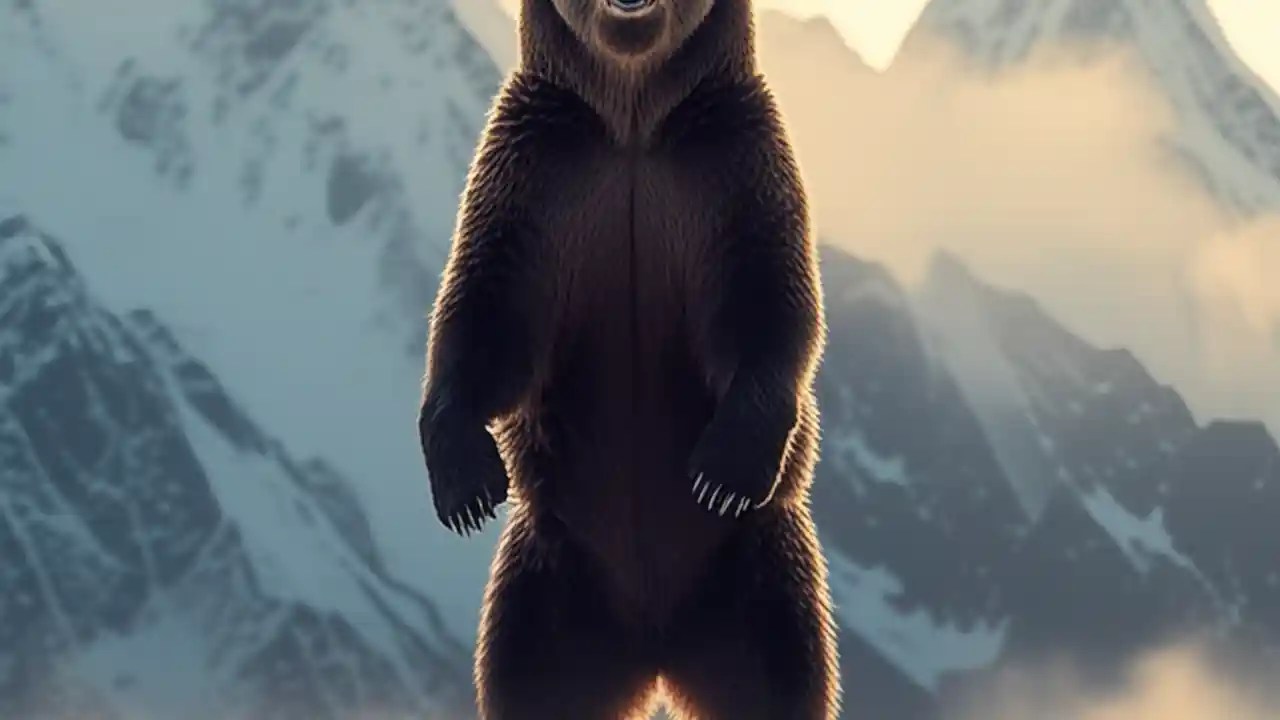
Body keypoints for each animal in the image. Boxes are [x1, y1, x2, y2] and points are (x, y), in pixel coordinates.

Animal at [417, 0, 841, 718]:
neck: (633, 123)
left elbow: (768, 301)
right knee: (529, 682)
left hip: (755, 581)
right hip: (550, 590)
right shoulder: (540, 171)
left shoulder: (730, 162)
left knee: (780, 680)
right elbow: (485, 309)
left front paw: (722, 473)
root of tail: (656, 647)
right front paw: (465, 482)